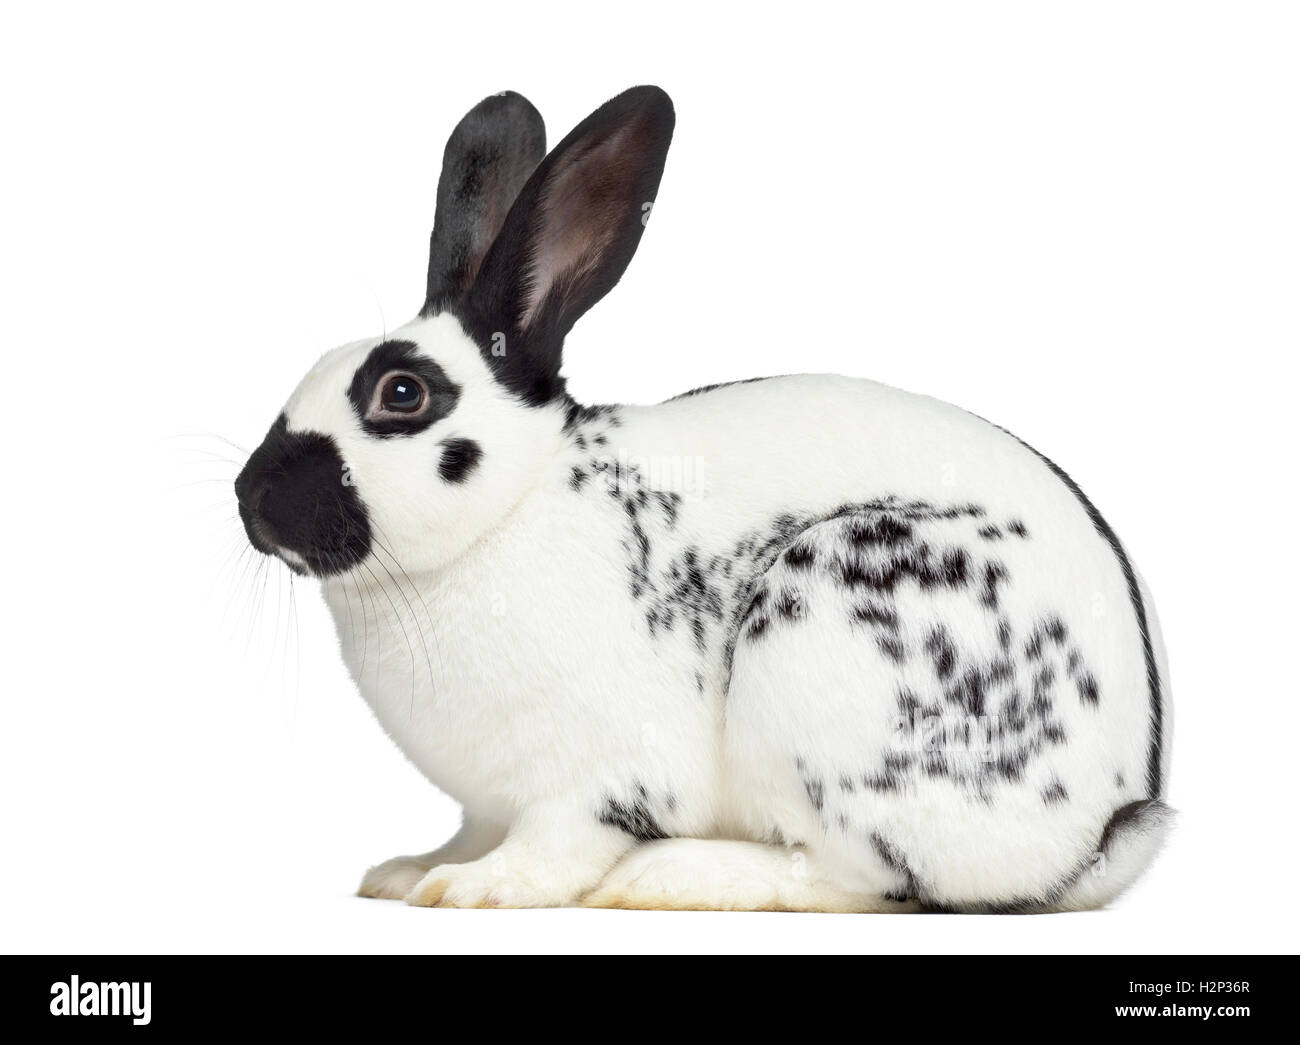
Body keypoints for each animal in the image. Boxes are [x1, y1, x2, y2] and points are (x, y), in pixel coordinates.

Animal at [234, 86, 1173, 912]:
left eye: (402, 394)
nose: (252, 498)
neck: (510, 509)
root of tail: (1097, 833)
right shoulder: (486, 800)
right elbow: (469, 829)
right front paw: (408, 871)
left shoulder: (590, 780)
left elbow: (552, 848)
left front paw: (472, 887)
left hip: (826, 643)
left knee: (852, 877)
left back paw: (667, 876)